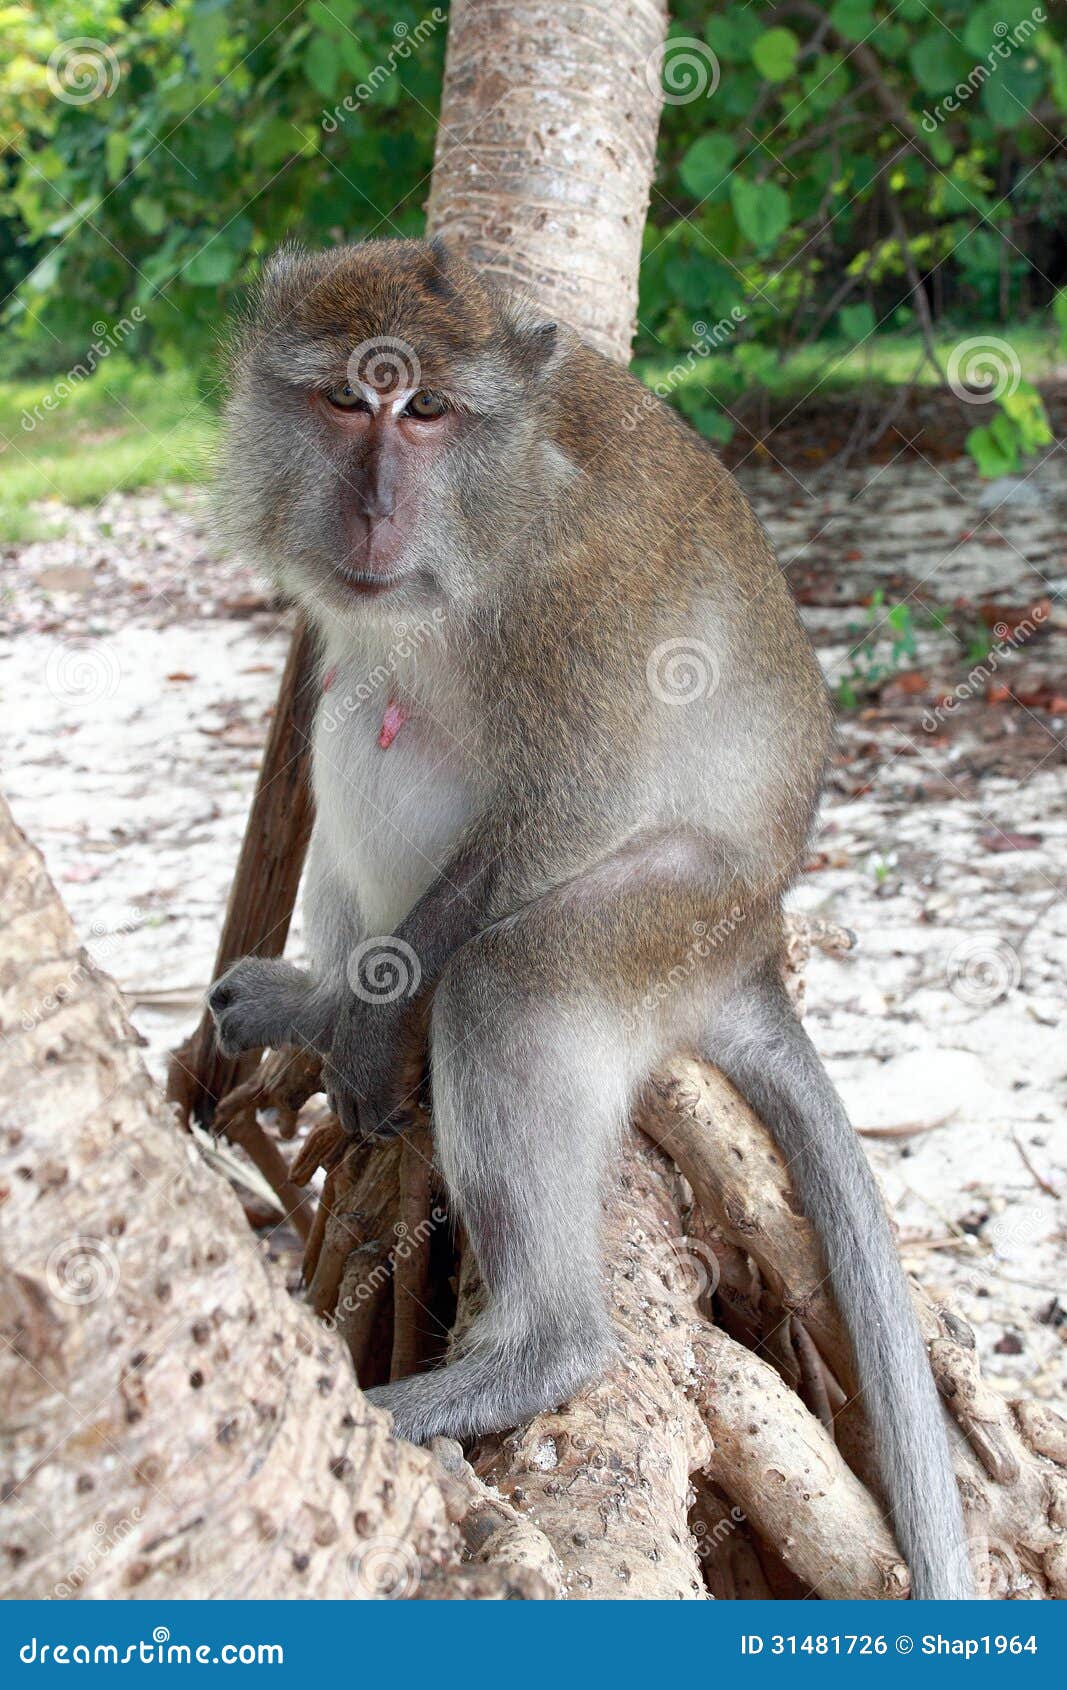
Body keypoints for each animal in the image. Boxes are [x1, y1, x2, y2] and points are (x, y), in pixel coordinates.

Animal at [206, 237, 972, 1600]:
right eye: (345, 402)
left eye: (426, 411)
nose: (373, 511)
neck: (486, 514)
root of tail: (756, 942)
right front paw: (342, 1013)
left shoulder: (584, 596)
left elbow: (574, 802)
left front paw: (369, 1040)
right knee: (354, 708)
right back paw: (328, 995)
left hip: (670, 925)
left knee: (508, 975)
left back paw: (533, 1352)